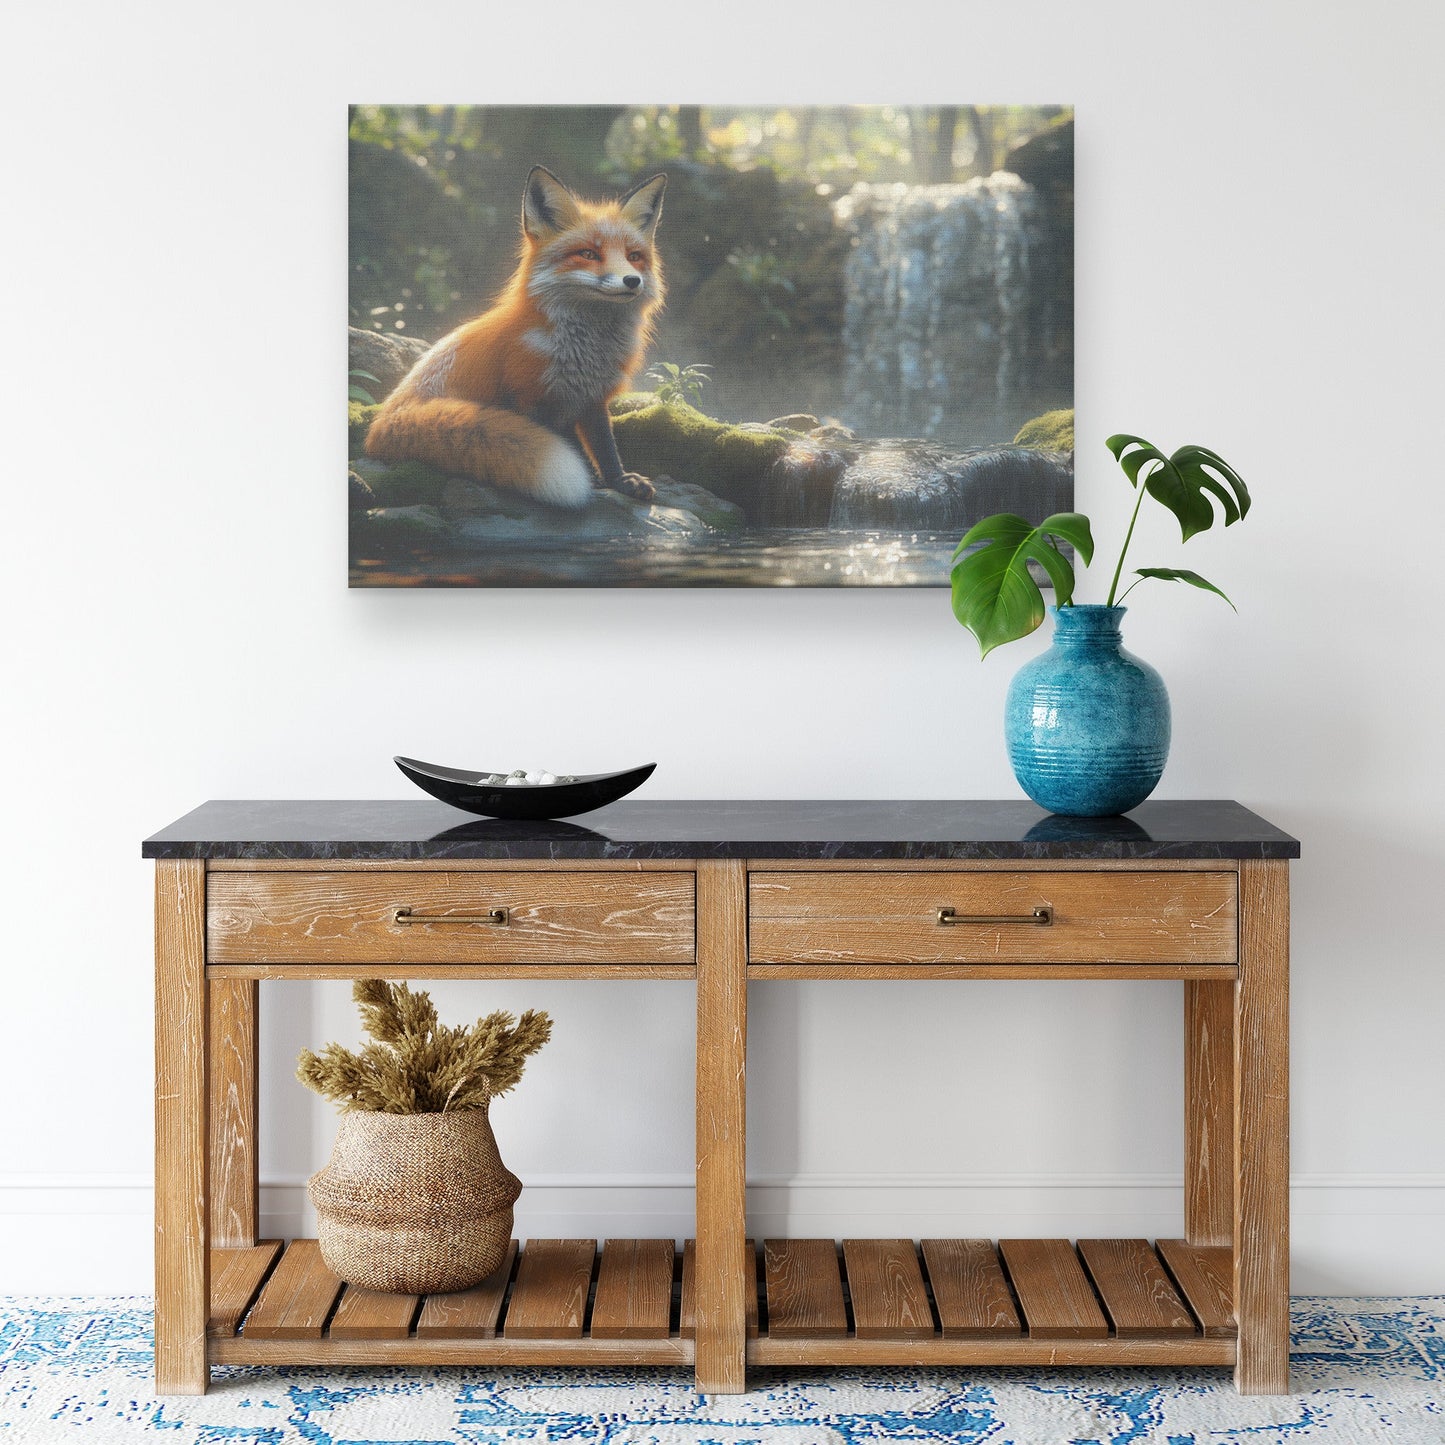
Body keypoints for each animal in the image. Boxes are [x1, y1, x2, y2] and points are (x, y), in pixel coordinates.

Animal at [365, 165, 667, 508]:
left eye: (634, 256)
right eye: (588, 253)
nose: (632, 280)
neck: (582, 350)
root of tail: (381, 422)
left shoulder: (592, 397)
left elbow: (606, 448)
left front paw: (620, 481)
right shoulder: (529, 397)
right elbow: (564, 443)